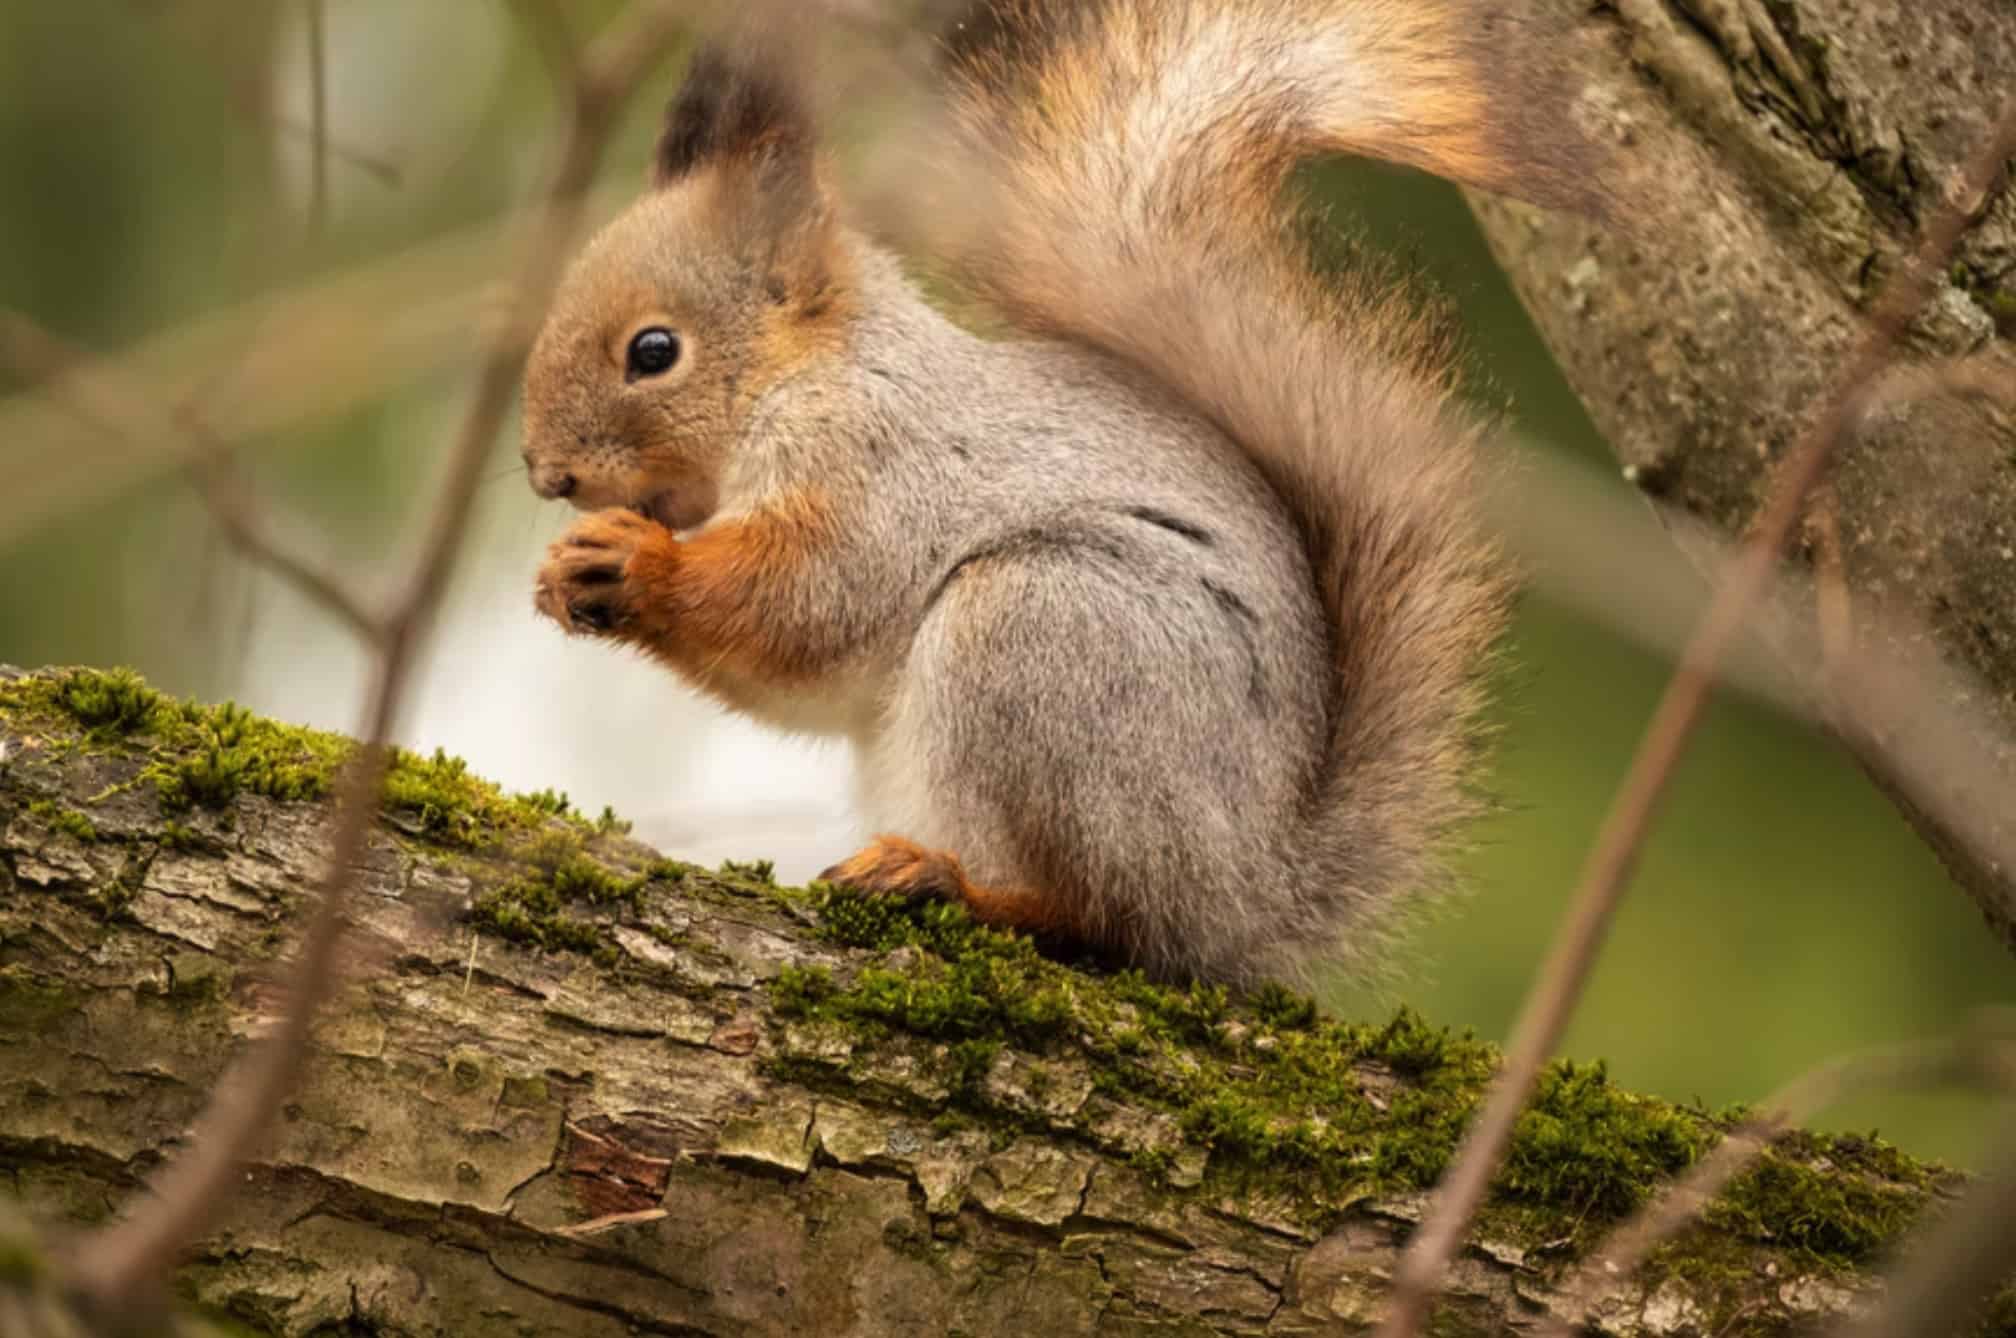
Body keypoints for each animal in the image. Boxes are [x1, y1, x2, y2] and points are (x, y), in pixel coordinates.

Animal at [522, 0, 1606, 986]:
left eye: (653, 351)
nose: (545, 474)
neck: (806, 373)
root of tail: (1250, 891)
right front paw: (564, 576)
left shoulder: (879, 467)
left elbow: (809, 604)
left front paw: (634, 563)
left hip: (1041, 639)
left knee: (1106, 920)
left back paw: (953, 884)